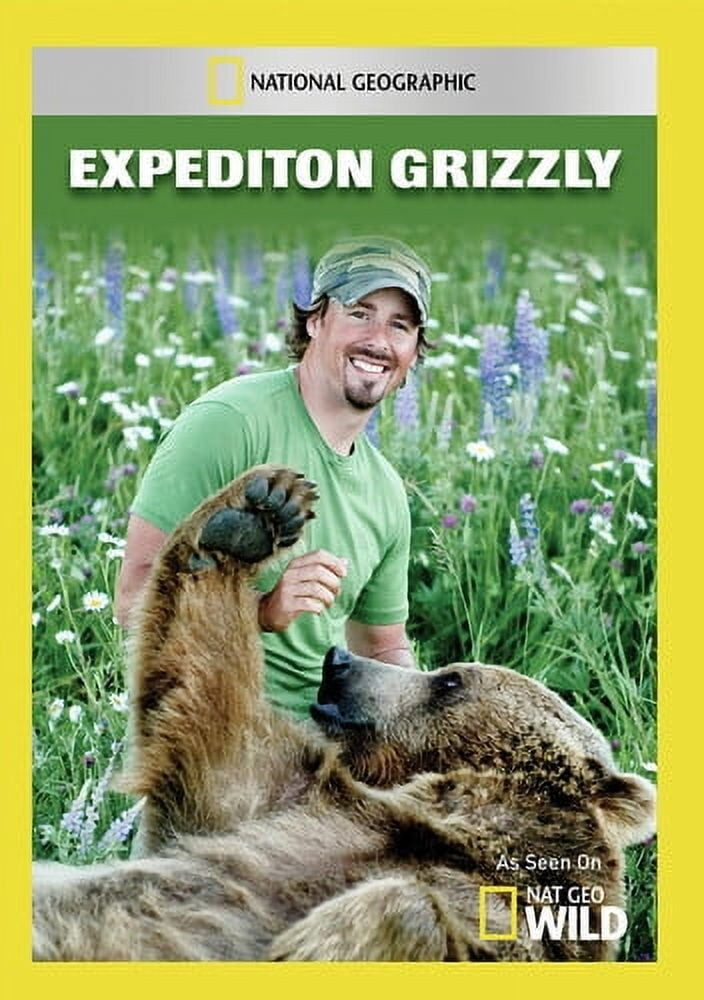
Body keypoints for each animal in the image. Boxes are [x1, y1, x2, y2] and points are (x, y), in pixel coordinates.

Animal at [32, 464, 655, 962]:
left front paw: (315, 940)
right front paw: (255, 513)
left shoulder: (520, 924)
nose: (340, 660)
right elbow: (206, 700)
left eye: (450, 679)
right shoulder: (288, 801)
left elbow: (415, 916)